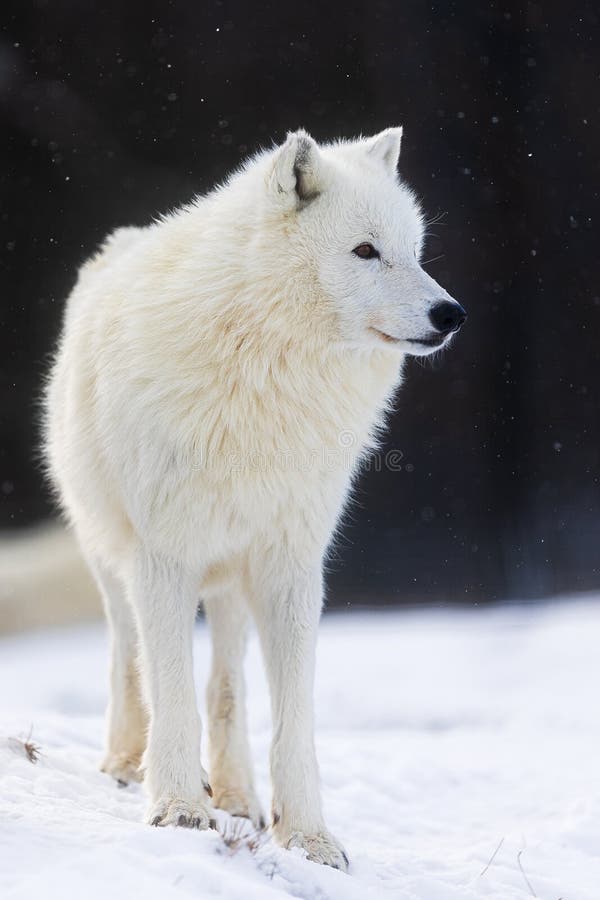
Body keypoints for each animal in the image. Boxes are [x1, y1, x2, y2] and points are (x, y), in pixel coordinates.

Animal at [43, 128, 465, 870]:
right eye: (366, 251)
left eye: (415, 253)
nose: (451, 314)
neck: (269, 378)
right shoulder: (164, 560)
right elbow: (169, 690)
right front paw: (177, 807)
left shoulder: (290, 568)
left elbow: (290, 718)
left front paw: (307, 837)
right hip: (111, 560)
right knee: (127, 656)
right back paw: (126, 764)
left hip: (231, 584)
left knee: (227, 685)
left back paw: (238, 797)